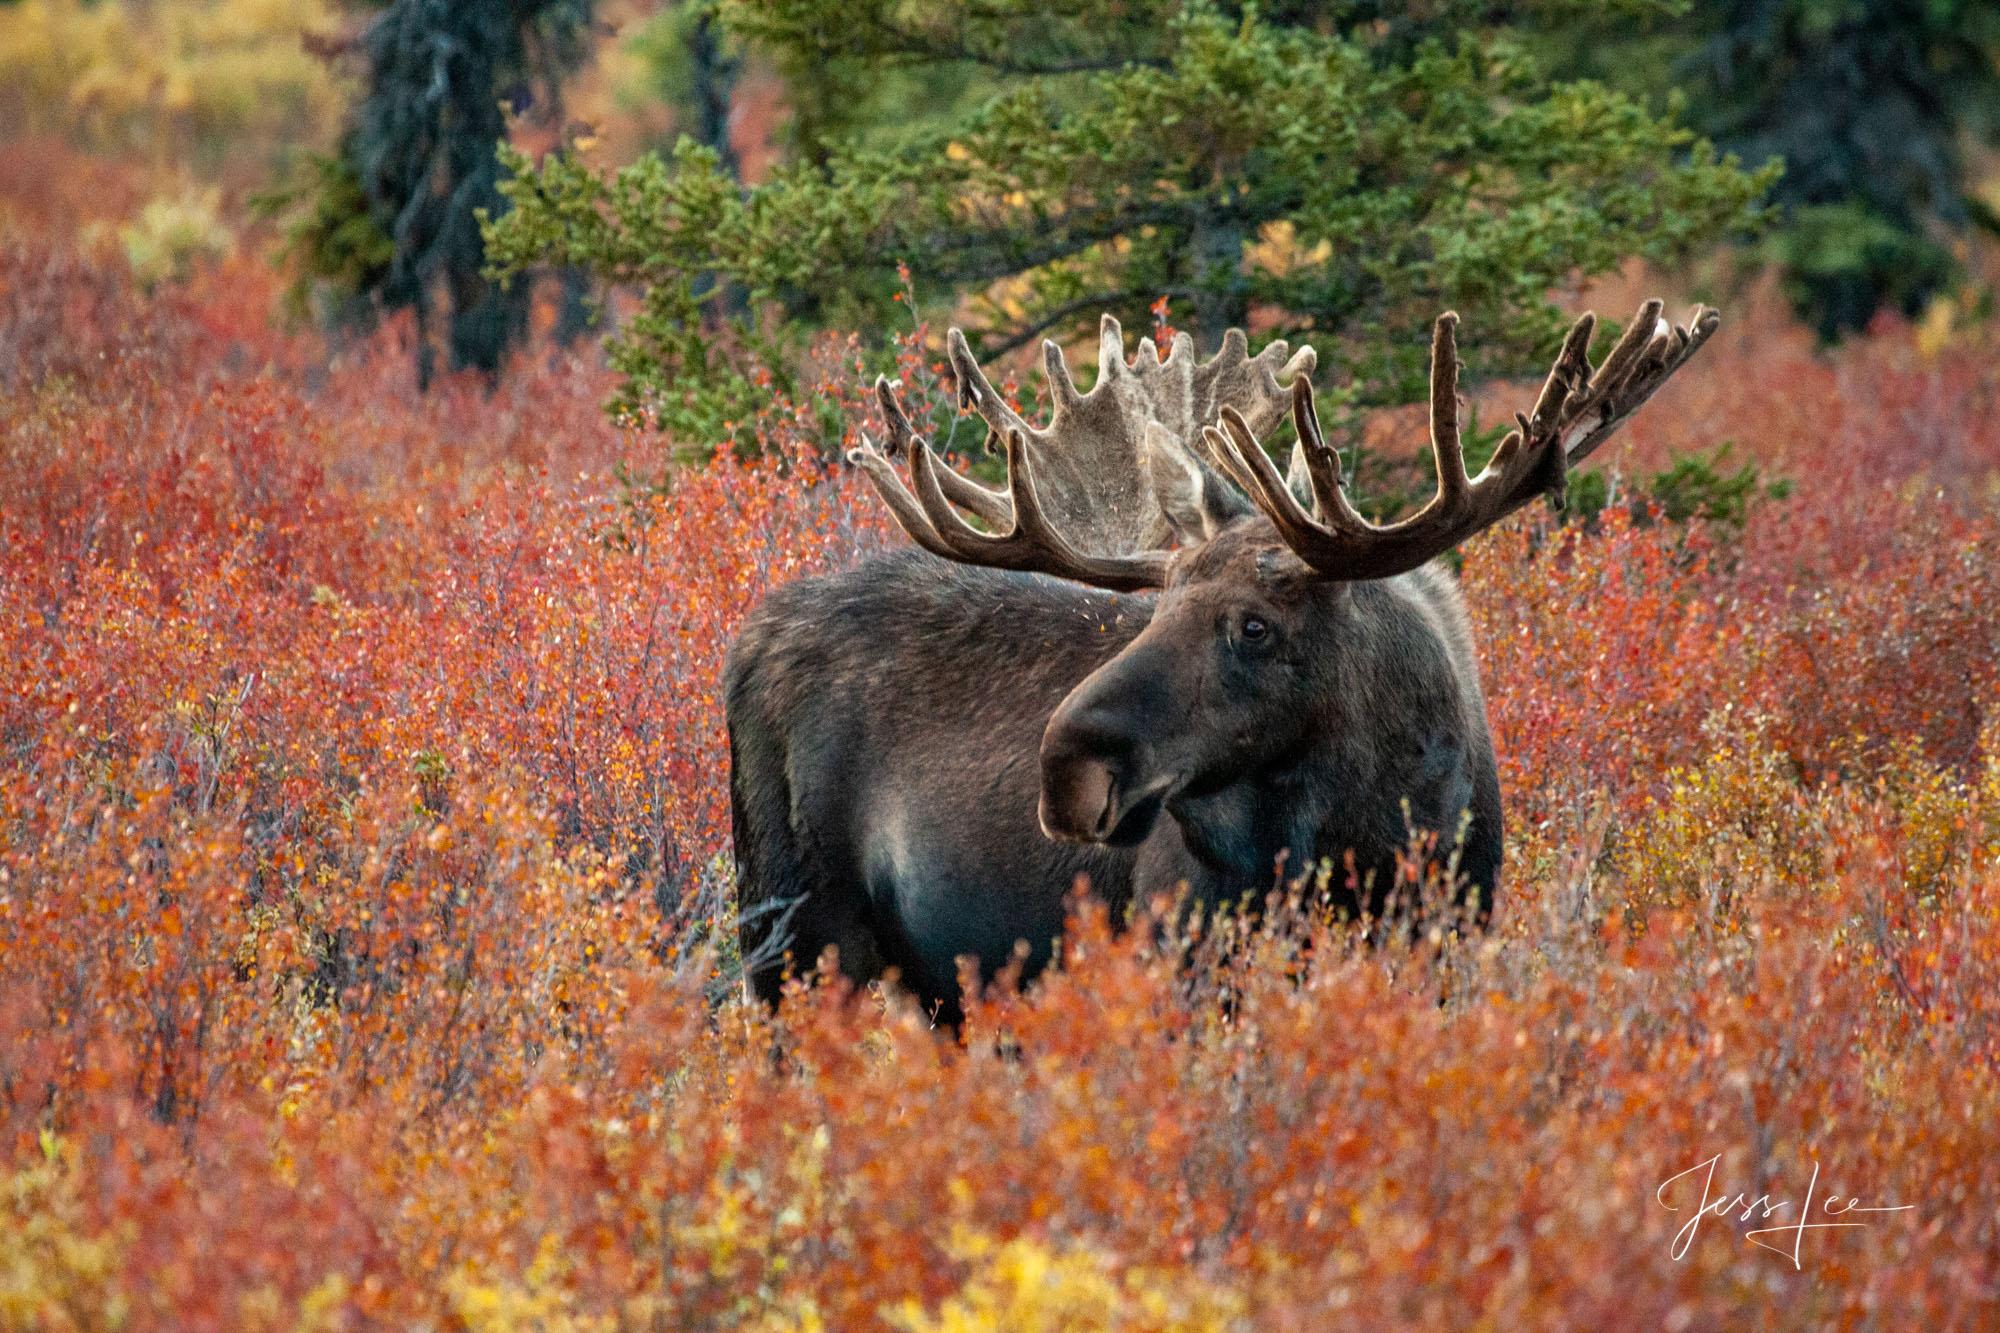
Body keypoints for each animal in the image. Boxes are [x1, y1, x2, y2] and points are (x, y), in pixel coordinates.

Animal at [726, 300, 1718, 1021]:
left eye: (1255, 626)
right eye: (1157, 601)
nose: (1065, 769)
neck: (1374, 834)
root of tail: (747, 643)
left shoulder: (1448, 938)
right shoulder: (1189, 952)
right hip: (793, 941)